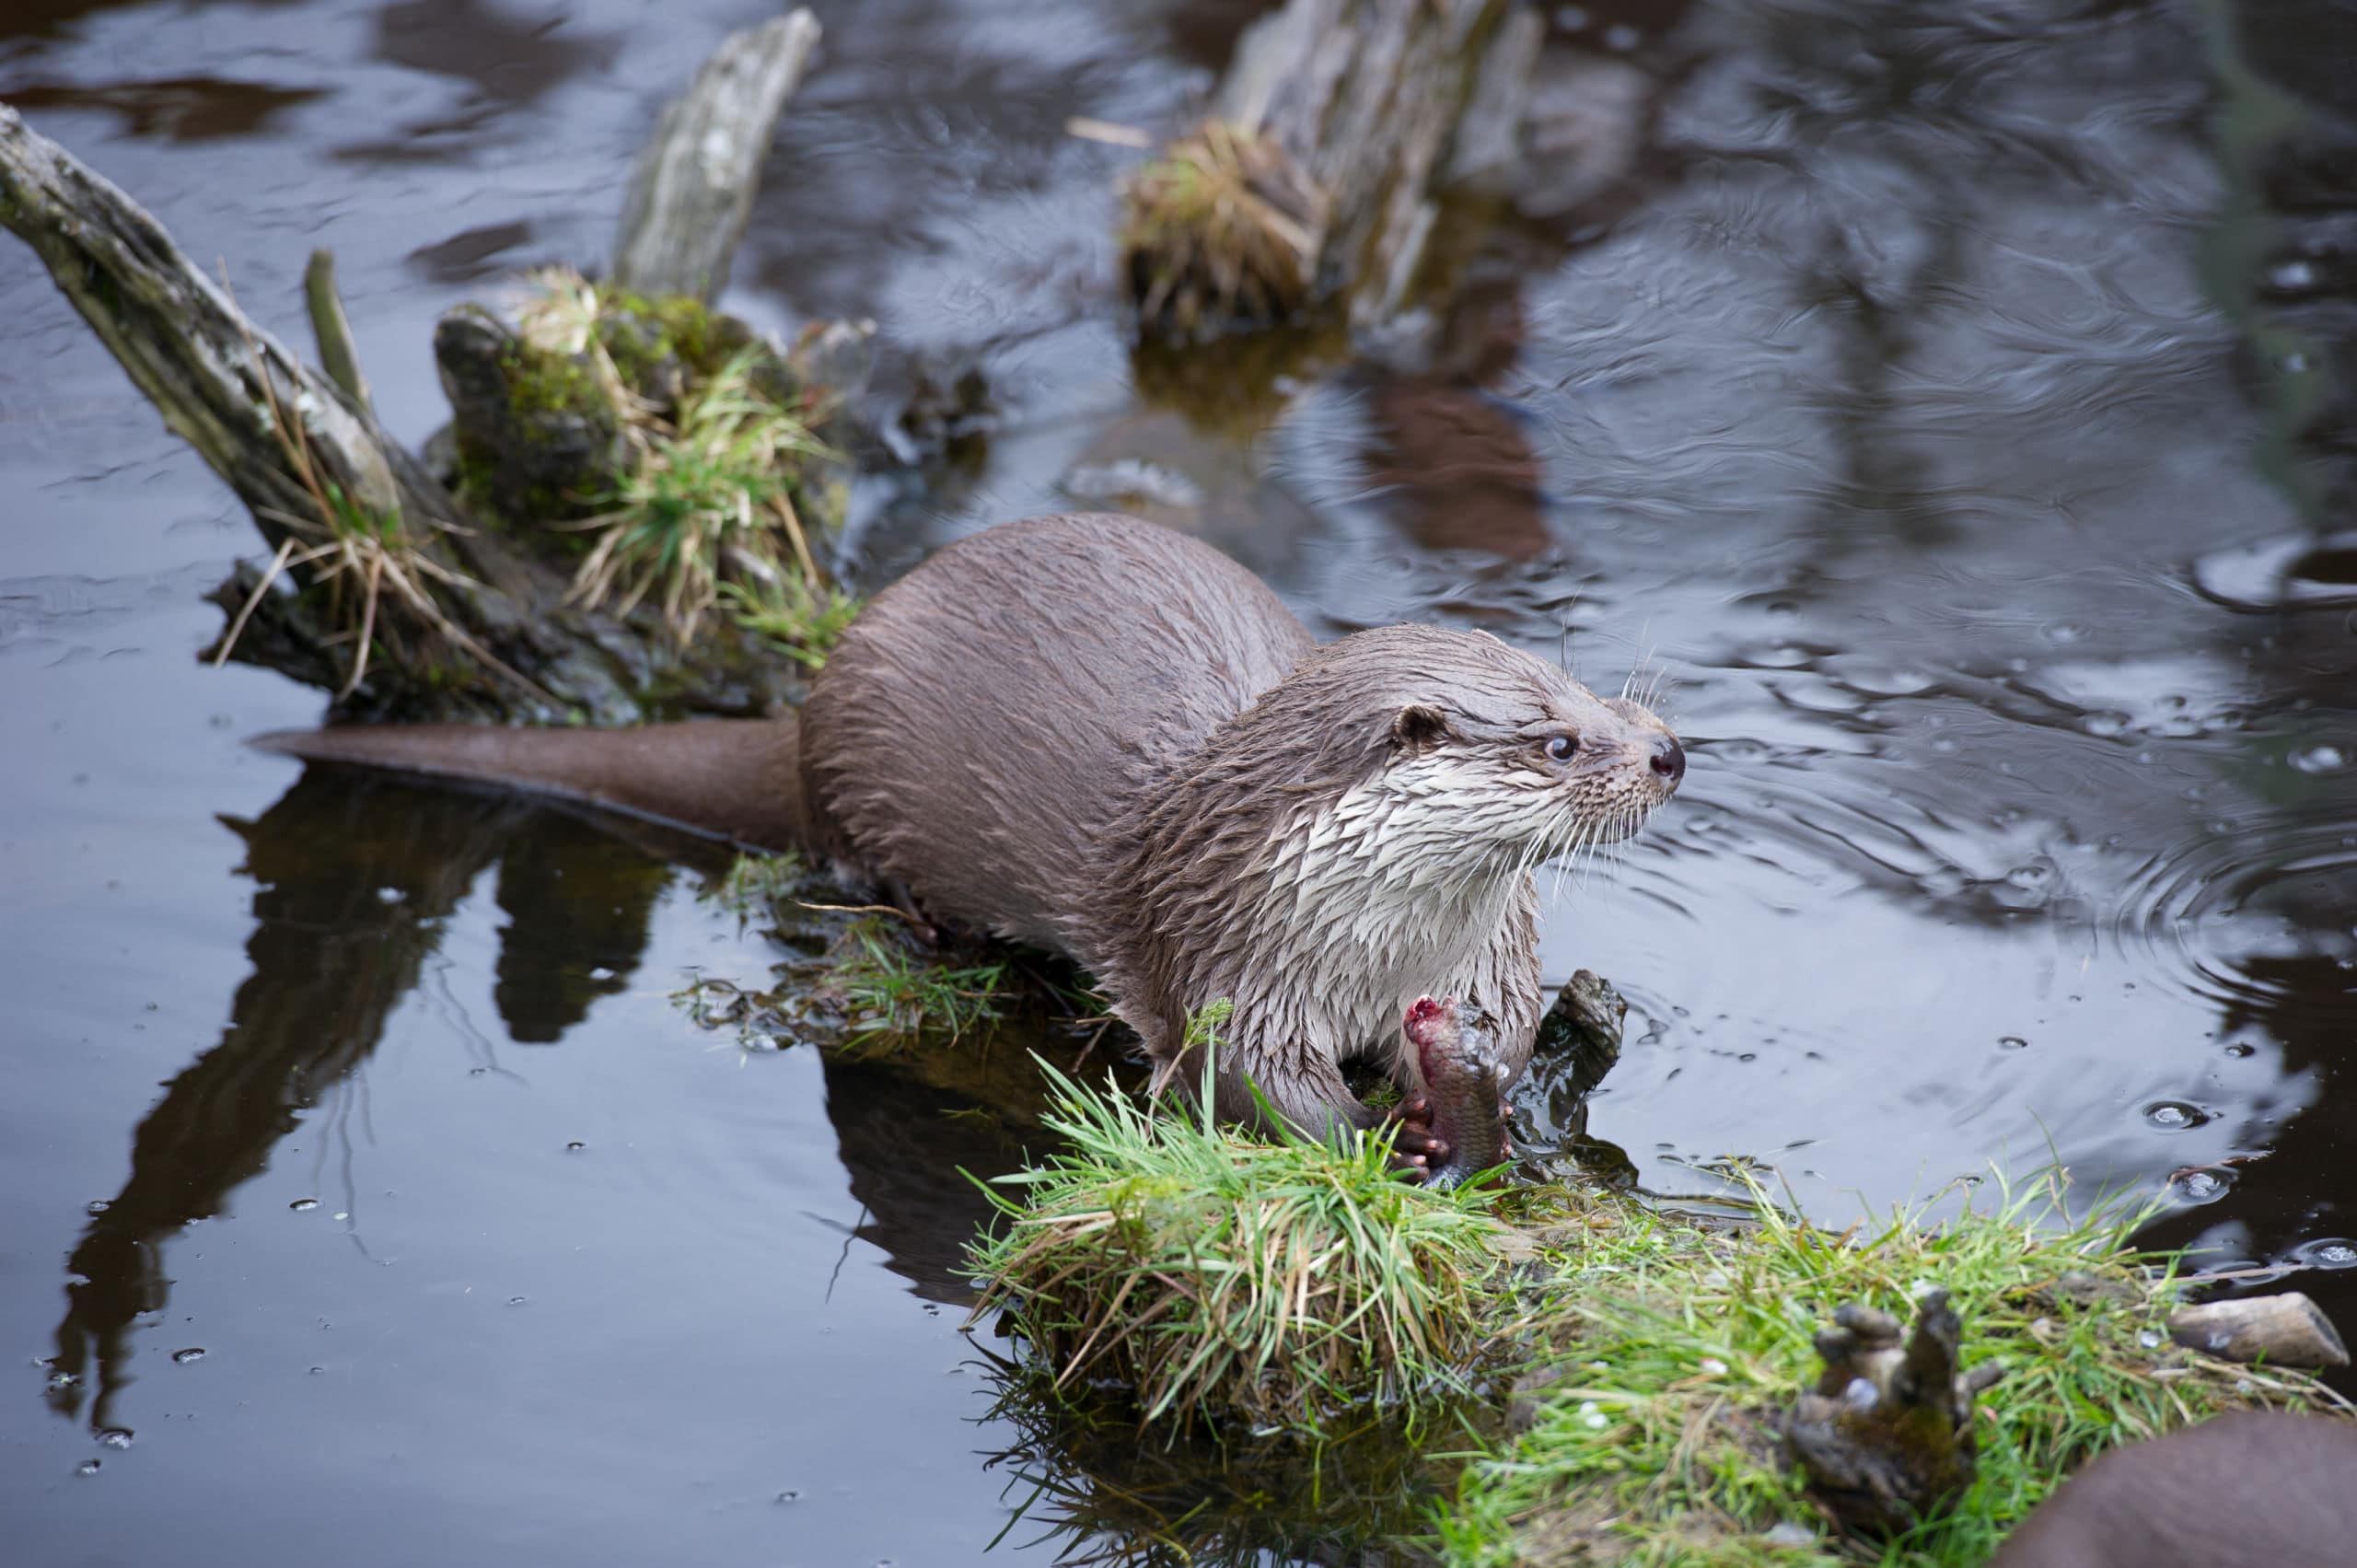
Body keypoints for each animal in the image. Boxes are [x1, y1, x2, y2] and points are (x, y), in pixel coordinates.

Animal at [263, 512, 1684, 1162]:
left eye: (1593, 695)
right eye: (1558, 742)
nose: (1667, 749)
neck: (1373, 943)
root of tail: (808, 706)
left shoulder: (1485, 951)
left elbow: (1508, 1039)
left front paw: (1469, 1088)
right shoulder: (1224, 959)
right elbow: (1255, 1090)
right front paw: (1385, 1138)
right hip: (856, 781)